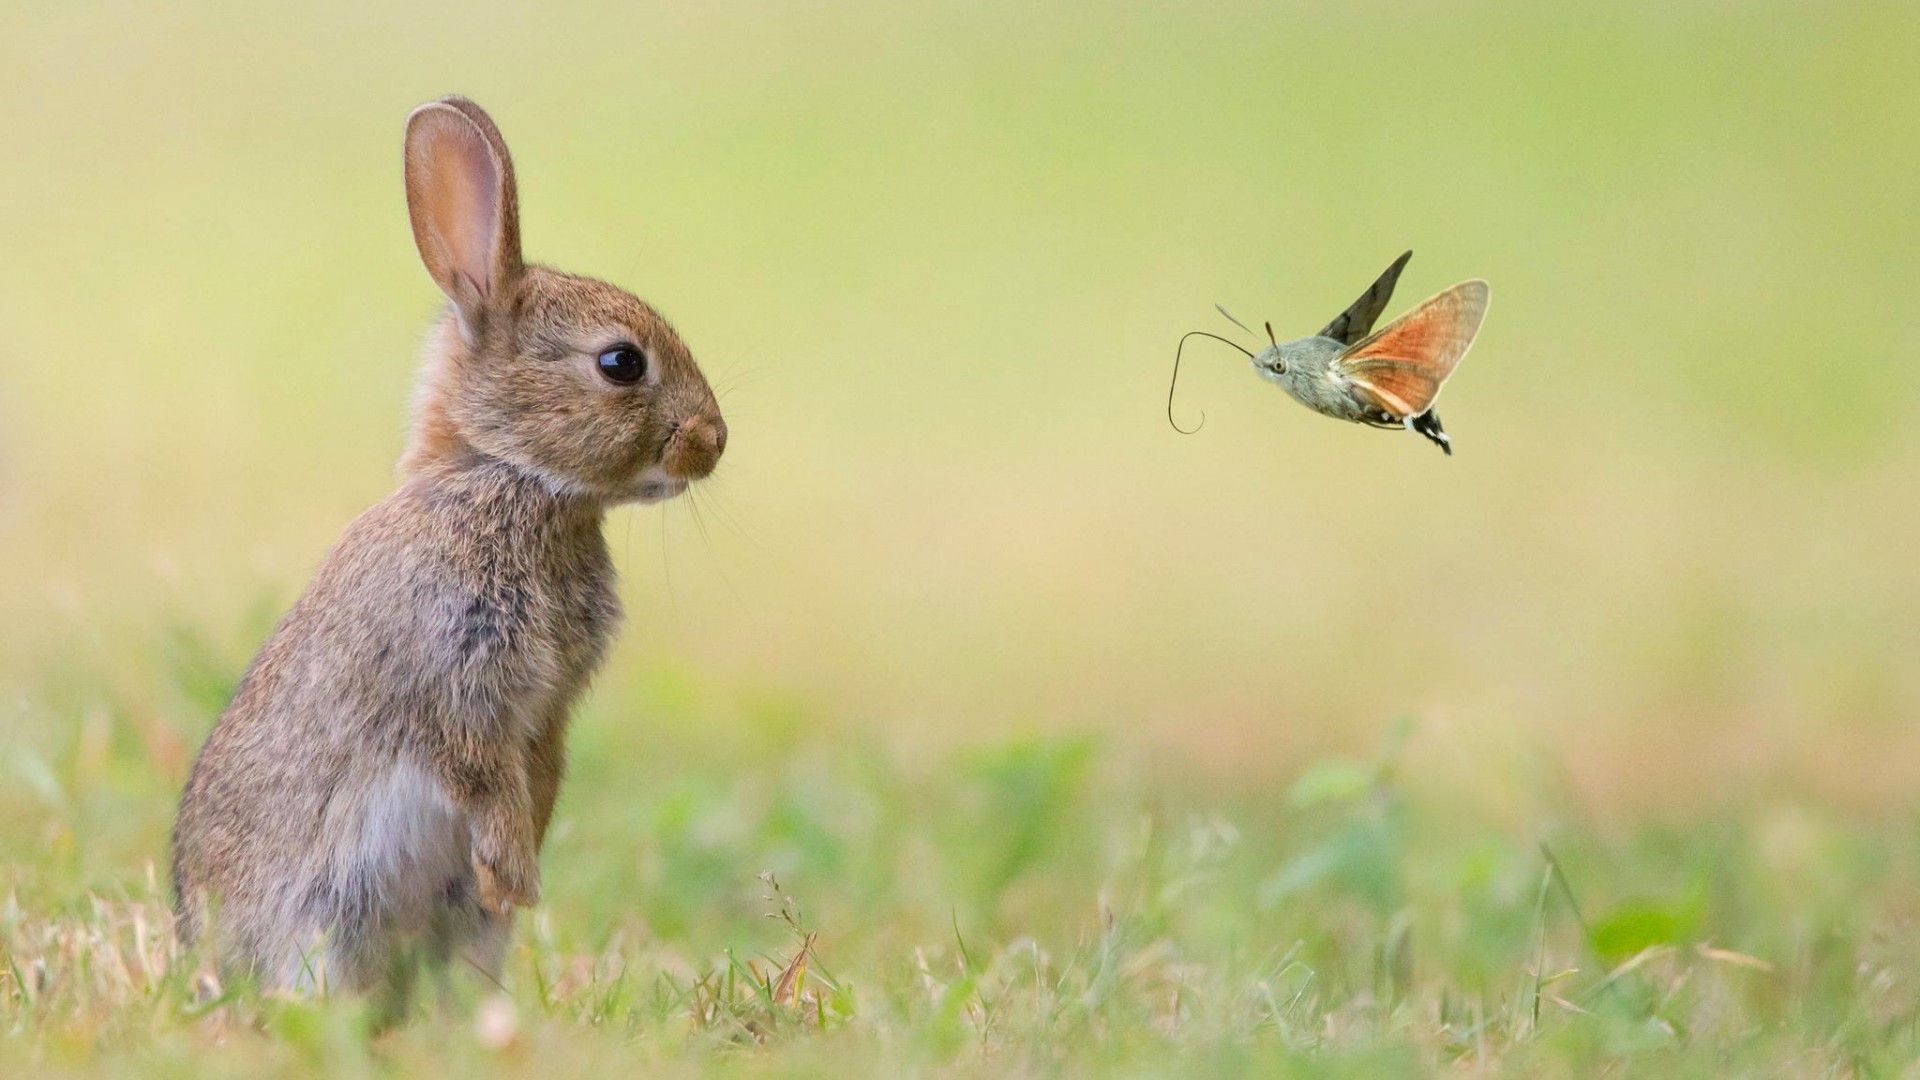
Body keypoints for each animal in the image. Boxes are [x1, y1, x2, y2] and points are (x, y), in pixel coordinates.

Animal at [170, 95, 727, 993]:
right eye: (621, 363)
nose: (713, 442)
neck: (509, 479)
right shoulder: (452, 677)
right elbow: (478, 770)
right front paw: (517, 872)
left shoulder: (547, 709)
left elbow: (540, 768)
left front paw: (524, 866)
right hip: (321, 921)